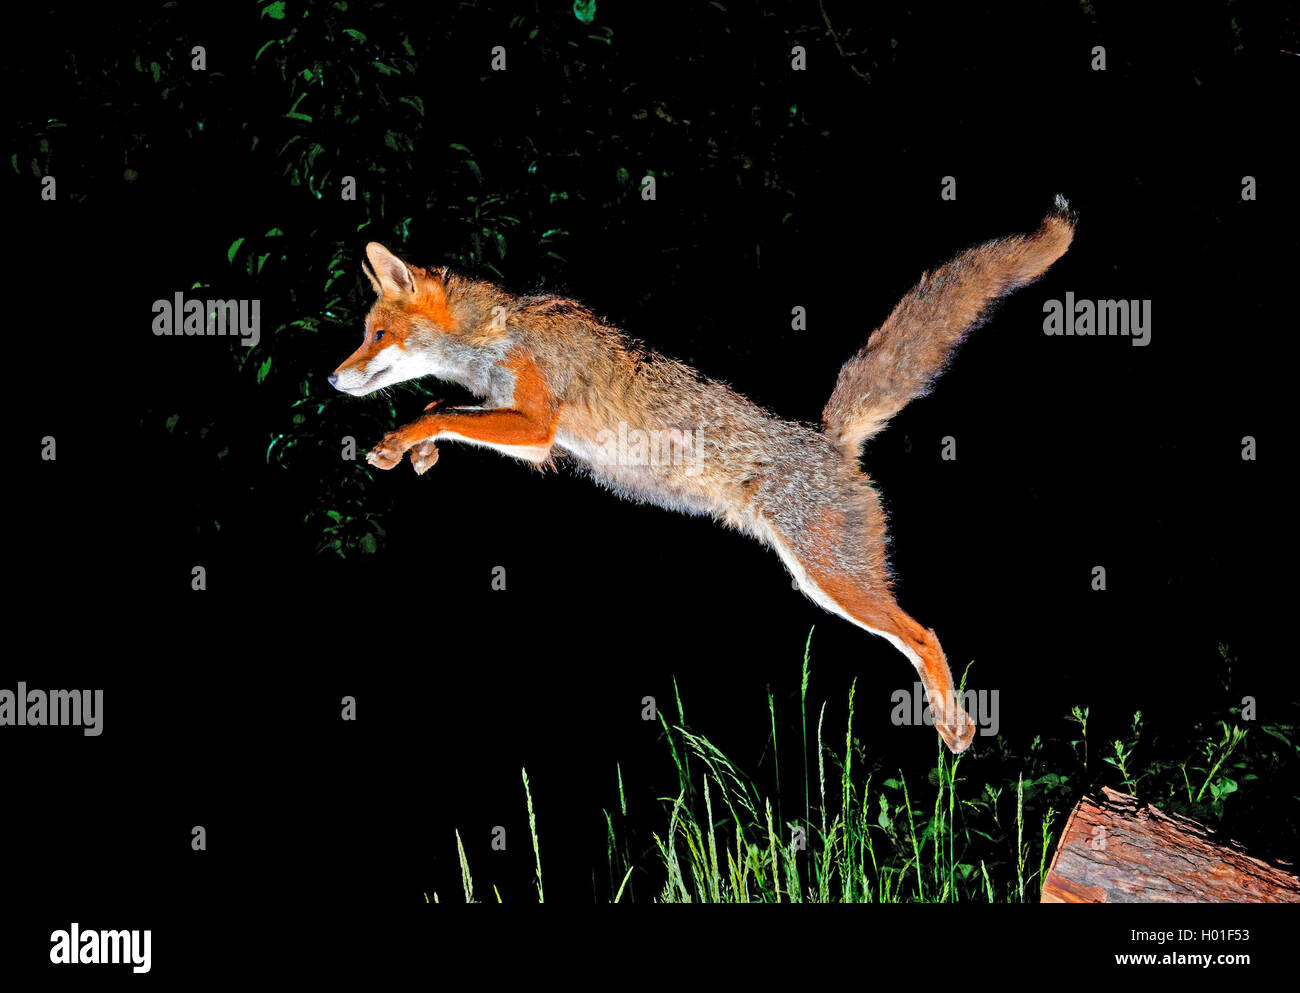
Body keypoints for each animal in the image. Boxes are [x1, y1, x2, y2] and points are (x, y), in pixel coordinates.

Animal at [329, 198, 1075, 752]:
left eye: (374, 336)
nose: (333, 379)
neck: (494, 337)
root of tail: (828, 440)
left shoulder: (537, 420)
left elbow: (435, 410)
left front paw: (400, 443)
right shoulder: (532, 435)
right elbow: (442, 409)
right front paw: (417, 454)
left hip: (831, 578)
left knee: (927, 635)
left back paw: (954, 722)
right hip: (828, 583)